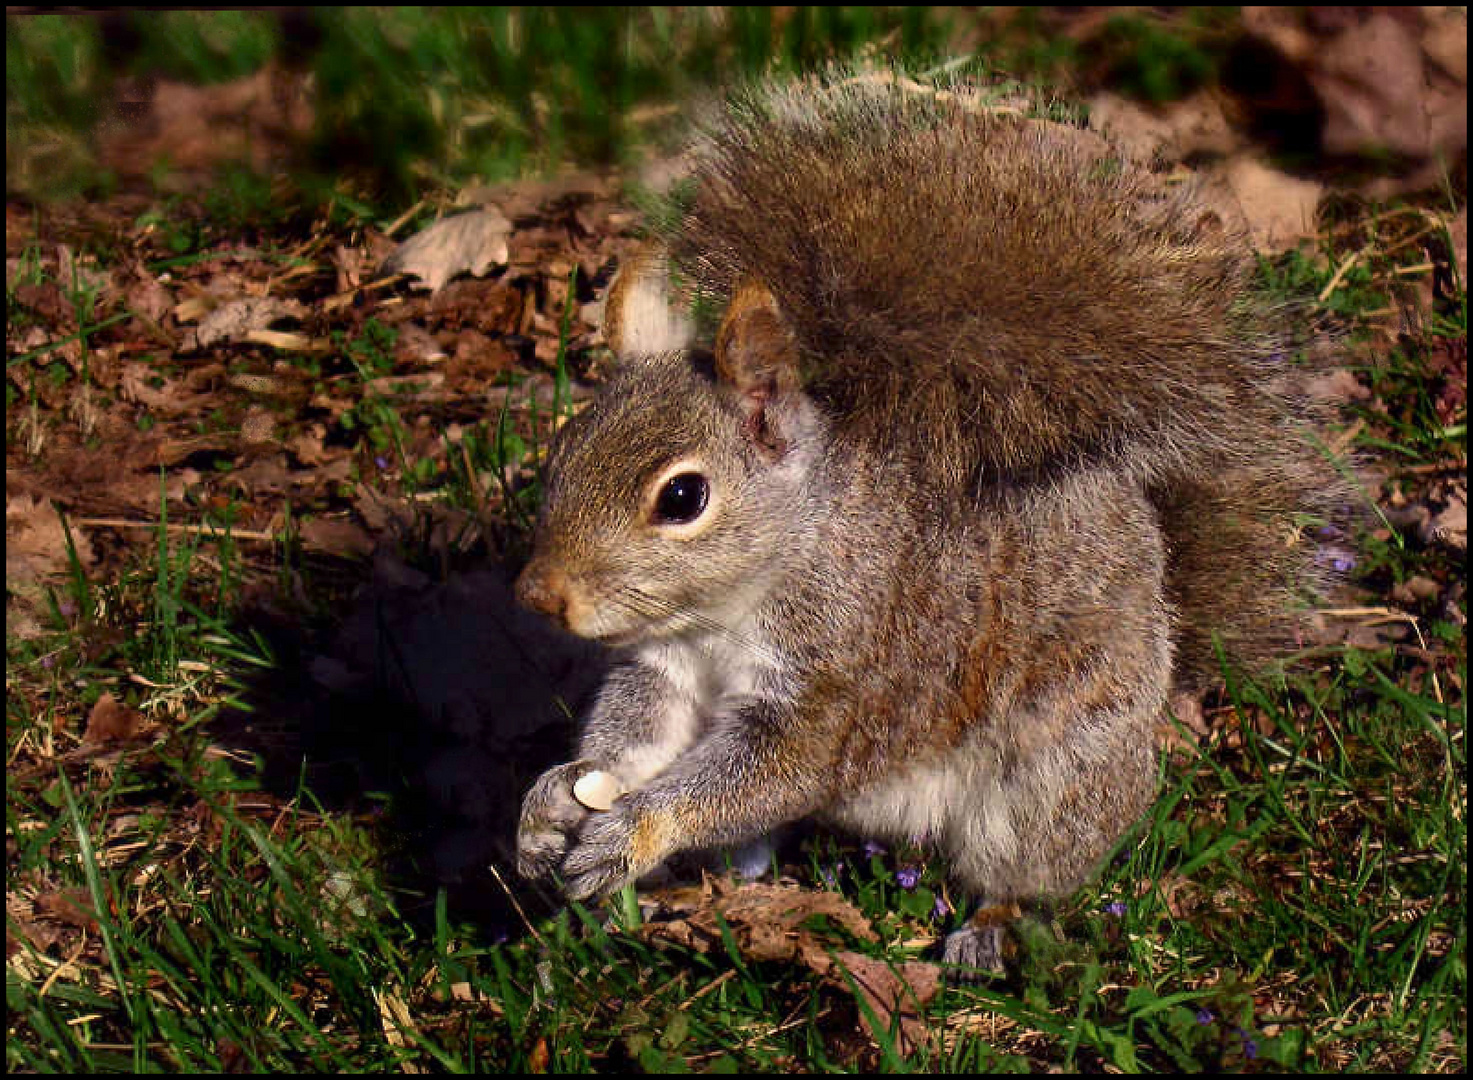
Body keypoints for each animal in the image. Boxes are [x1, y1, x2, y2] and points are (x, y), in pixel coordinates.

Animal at [512, 75, 1349, 966]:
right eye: (564, 449)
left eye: (681, 499)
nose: (538, 596)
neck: (734, 601)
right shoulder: (663, 670)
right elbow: (633, 737)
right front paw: (551, 802)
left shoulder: (844, 676)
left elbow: (776, 768)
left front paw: (635, 829)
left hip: (1055, 776)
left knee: (1031, 869)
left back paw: (989, 928)